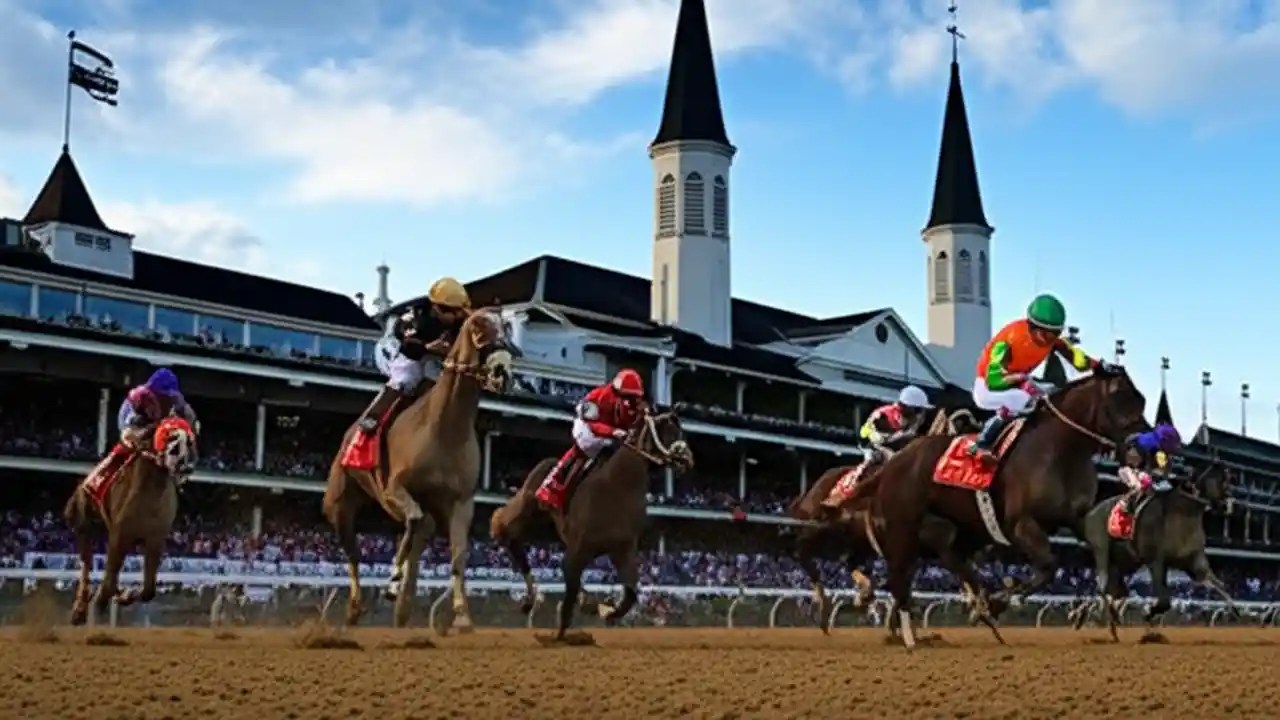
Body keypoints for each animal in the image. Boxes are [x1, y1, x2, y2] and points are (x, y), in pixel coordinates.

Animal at [63, 415, 197, 625]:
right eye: (172, 440)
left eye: (190, 441)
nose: (186, 466)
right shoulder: (120, 536)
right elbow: (108, 585)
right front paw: (101, 604)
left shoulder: (154, 540)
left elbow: (148, 590)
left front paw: (126, 595)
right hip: (81, 520)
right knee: (87, 561)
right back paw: (80, 609)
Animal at [323, 309, 515, 630]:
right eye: (478, 326)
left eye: (506, 328)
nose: (502, 371)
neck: (444, 428)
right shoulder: (393, 489)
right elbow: (413, 521)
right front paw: (391, 581)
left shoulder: (461, 502)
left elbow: (458, 556)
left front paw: (462, 616)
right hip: (339, 504)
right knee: (354, 554)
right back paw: (356, 608)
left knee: (419, 536)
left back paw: (402, 610)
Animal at [490, 403, 693, 641]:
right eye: (667, 431)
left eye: (681, 432)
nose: (688, 459)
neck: (616, 487)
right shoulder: (579, 549)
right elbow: (569, 593)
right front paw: (560, 634)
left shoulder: (622, 548)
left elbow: (630, 594)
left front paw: (606, 610)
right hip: (527, 508)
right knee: (509, 532)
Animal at [873, 367, 1149, 648]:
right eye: (1118, 396)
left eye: (1141, 401)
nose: (1143, 448)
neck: (1059, 449)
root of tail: (898, 458)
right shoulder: (1021, 523)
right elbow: (1048, 565)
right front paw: (1004, 600)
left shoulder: (1078, 518)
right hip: (903, 528)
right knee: (901, 576)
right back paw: (911, 633)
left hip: (952, 531)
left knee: (950, 561)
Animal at [1077, 460, 1238, 641]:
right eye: (1223, 480)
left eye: (1229, 479)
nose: (1231, 504)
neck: (1183, 511)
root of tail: (1089, 514)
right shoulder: (1156, 561)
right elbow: (1164, 600)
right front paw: (1147, 612)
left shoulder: (1194, 560)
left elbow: (1217, 583)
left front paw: (1234, 610)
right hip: (1102, 550)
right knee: (1103, 587)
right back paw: (1103, 620)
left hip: (1124, 563)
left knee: (1117, 591)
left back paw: (1100, 617)